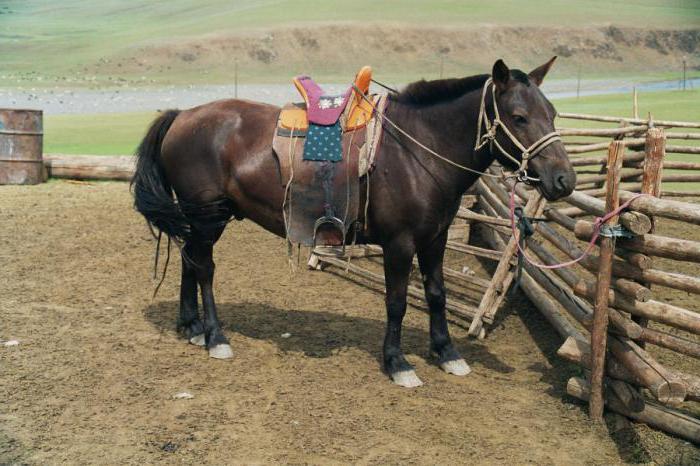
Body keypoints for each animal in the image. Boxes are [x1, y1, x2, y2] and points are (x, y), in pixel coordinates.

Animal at [130, 57, 576, 386]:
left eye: (553, 113)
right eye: (519, 116)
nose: (563, 180)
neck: (418, 148)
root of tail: (182, 115)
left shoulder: (435, 238)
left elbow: (437, 294)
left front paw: (447, 353)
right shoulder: (399, 243)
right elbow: (397, 301)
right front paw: (398, 363)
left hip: (199, 219)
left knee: (189, 260)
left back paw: (190, 327)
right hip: (209, 215)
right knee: (204, 269)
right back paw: (215, 336)